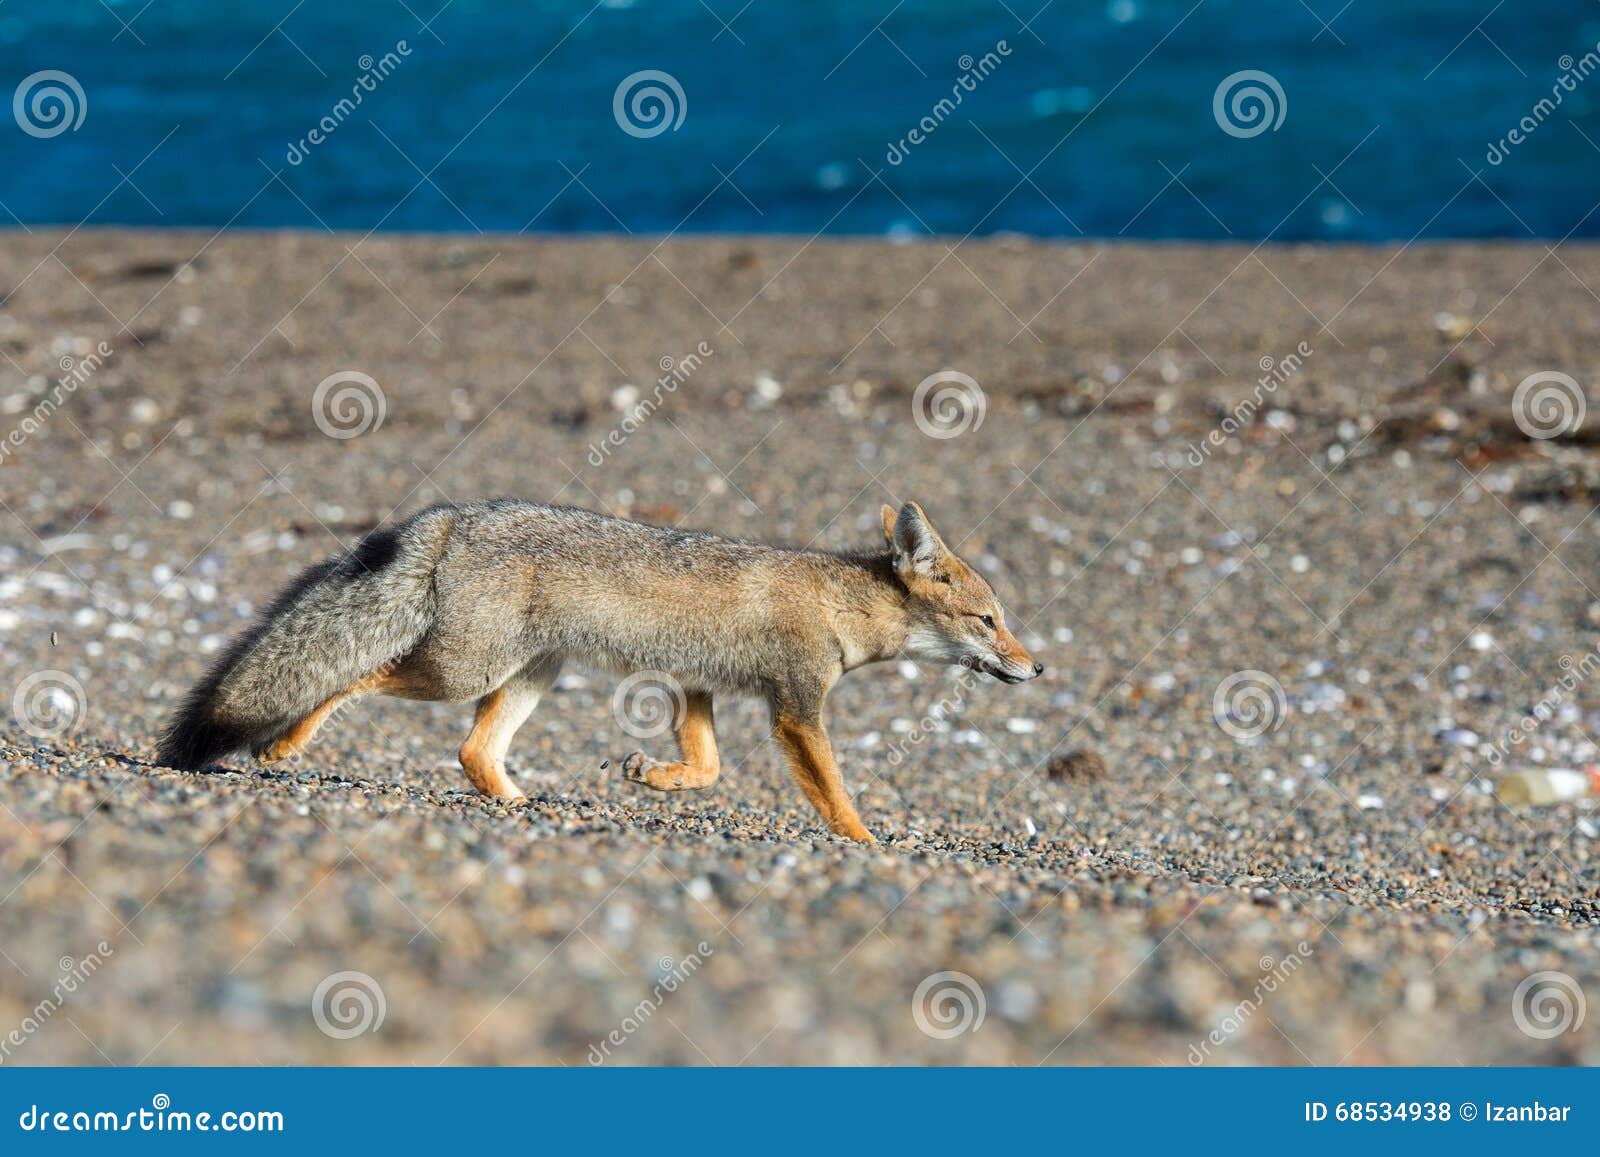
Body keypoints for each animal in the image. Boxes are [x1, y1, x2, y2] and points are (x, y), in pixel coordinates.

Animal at [156, 499, 1041, 842]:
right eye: (989, 620)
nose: (1037, 665)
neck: (841, 603)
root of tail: (454, 514)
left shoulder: (697, 685)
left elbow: (709, 767)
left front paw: (655, 776)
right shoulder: (795, 708)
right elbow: (837, 794)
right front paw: (866, 840)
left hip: (529, 675)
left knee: (473, 752)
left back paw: (525, 805)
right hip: (459, 670)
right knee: (352, 677)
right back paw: (284, 744)